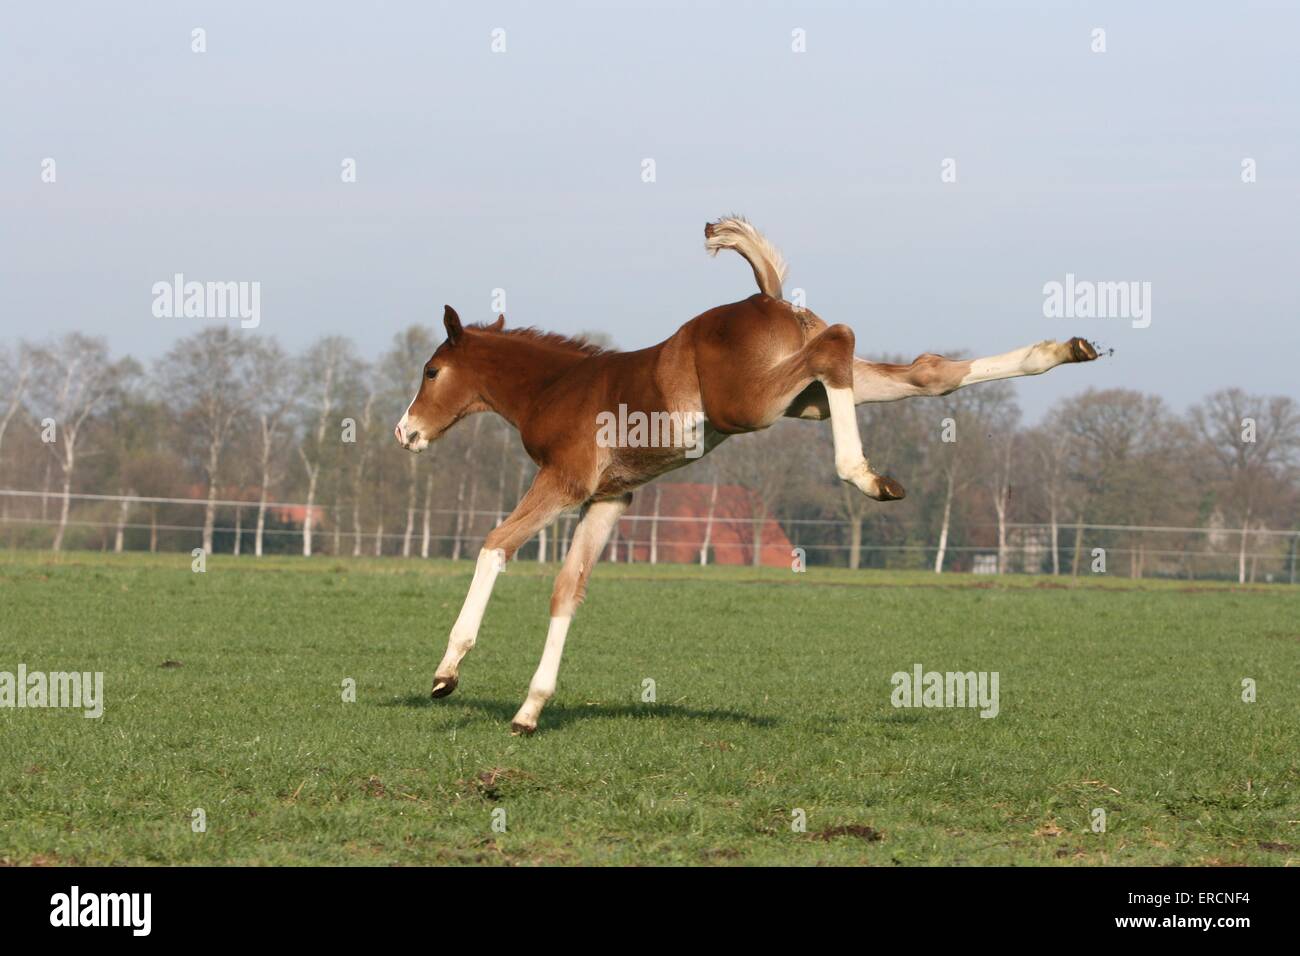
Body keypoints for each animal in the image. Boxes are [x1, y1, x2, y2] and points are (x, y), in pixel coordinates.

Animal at [395, 217, 1098, 733]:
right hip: (804, 400)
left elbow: (493, 546)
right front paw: (529, 710)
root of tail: (768, 298)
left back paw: (863, 475)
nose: (406, 433)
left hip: (752, 403)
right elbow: (569, 589)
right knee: (925, 372)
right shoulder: (610, 500)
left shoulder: (566, 483)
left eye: (430, 371)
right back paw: (1061, 351)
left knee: (838, 341)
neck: (554, 387)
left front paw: (446, 673)